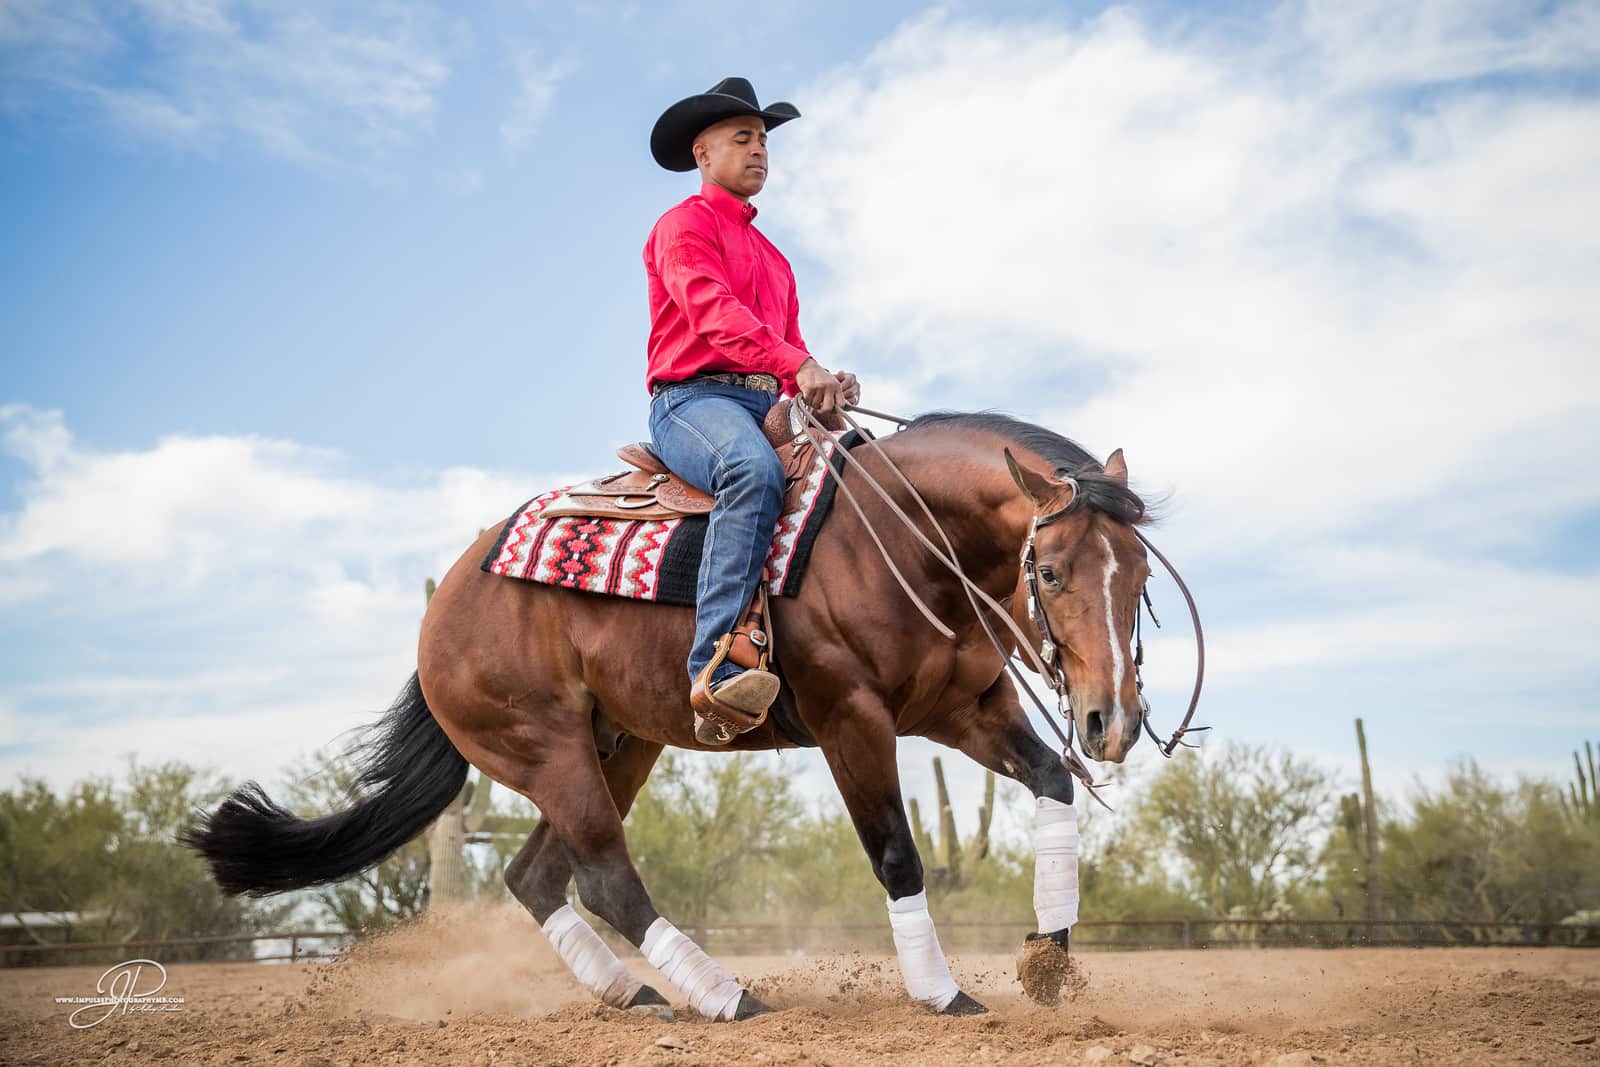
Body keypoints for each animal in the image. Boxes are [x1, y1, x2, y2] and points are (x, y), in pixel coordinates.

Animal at [181, 410, 1158, 1021]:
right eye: (1052, 572)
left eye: (1141, 575)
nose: (1112, 720)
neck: (896, 541)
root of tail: (446, 603)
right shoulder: (853, 721)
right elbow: (896, 854)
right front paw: (941, 991)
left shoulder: (966, 709)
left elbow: (1054, 781)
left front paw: (1048, 960)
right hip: (549, 751)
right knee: (607, 877)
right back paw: (725, 994)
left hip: (616, 748)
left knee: (537, 878)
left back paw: (638, 993)